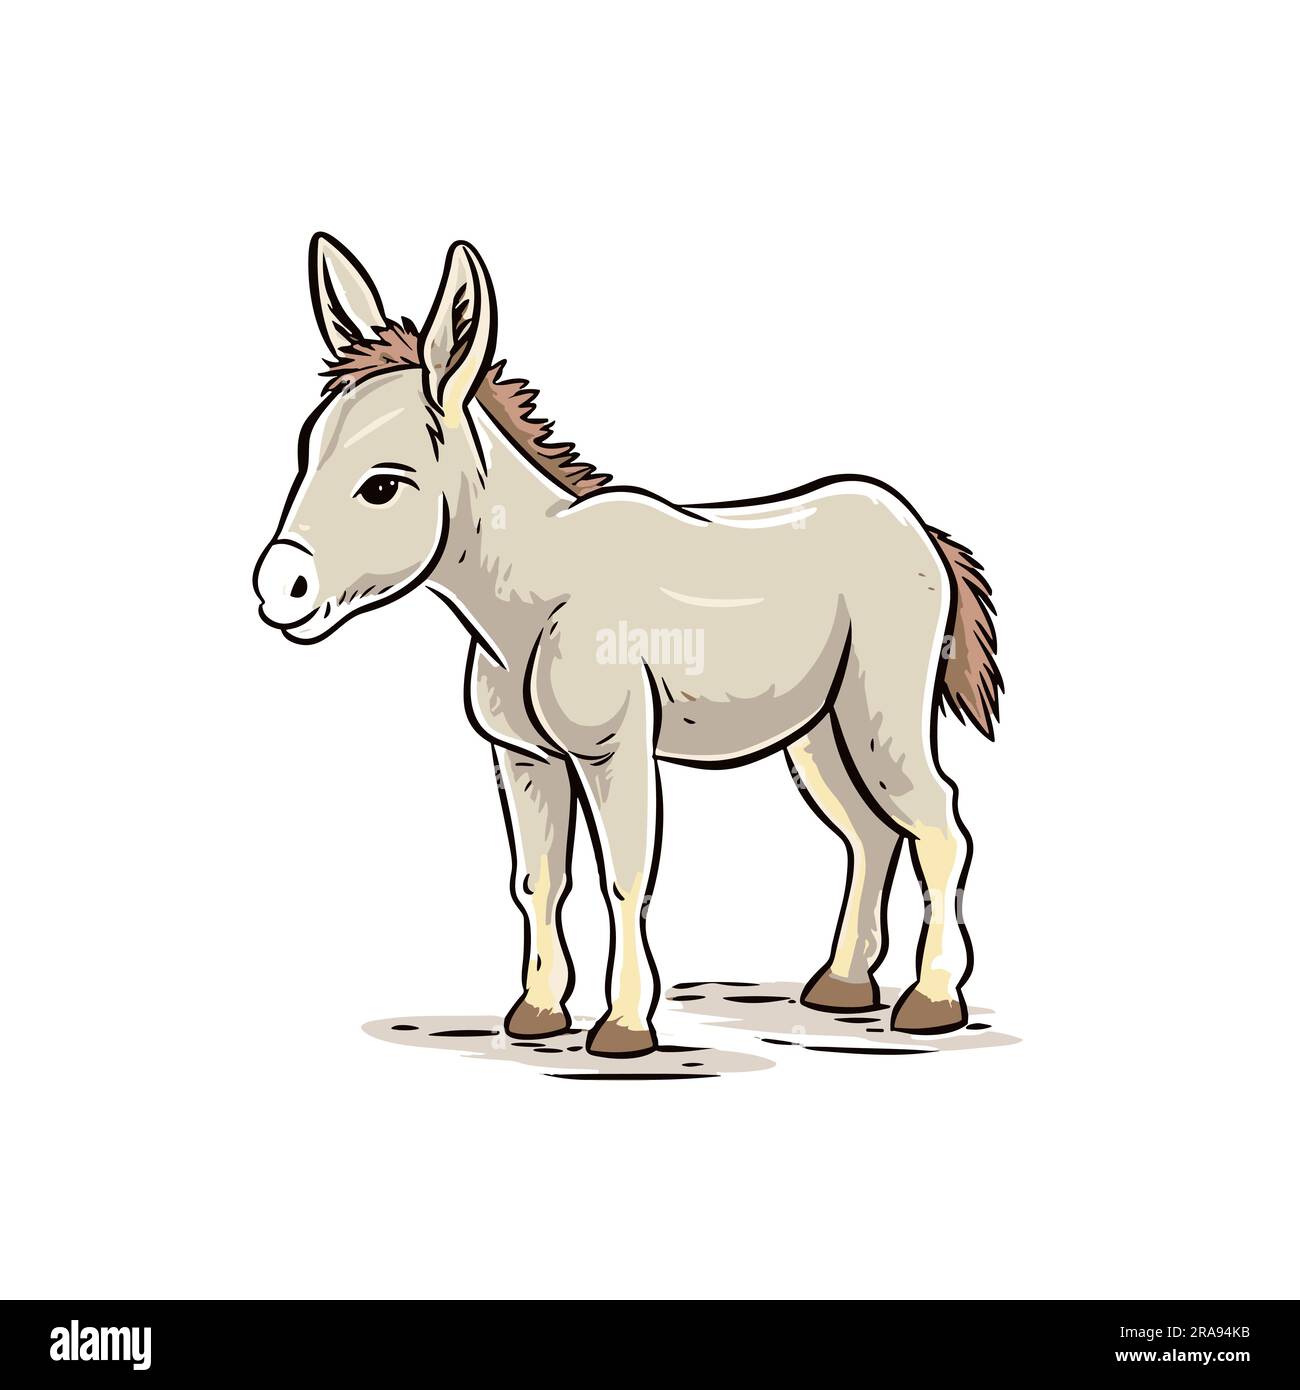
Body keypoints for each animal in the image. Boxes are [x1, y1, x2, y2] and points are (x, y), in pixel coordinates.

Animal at [253, 235, 1003, 1057]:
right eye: (303, 453)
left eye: (383, 486)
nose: (279, 588)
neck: (529, 598)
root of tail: (914, 523)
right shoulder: (524, 758)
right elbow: (539, 880)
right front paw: (536, 1014)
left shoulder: (614, 749)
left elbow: (626, 876)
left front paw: (622, 1027)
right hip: (818, 732)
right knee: (870, 834)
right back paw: (841, 987)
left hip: (879, 715)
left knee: (939, 823)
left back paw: (931, 1000)